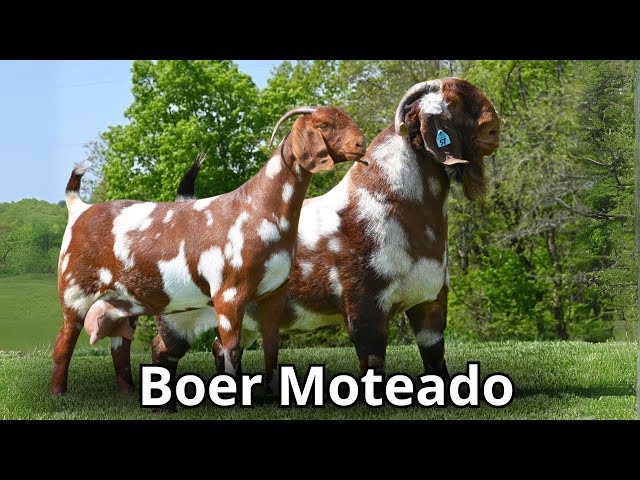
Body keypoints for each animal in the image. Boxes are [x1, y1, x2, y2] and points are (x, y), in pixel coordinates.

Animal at [52, 106, 367, 400]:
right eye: (324, 124)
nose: (361, 144)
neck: (257, 208)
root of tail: (79, 208)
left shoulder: (273, 292)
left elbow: (272, 346)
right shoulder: (229, 293)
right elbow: (231, 349)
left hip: (124, 302)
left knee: (120, 345)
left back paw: (128, 393)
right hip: (75, 292)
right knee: (63, 343)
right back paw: (58, 395)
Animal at [175, 78, 500, 381]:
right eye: (453, 104)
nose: (493, 130)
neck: (389, 202)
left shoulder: (430, 304)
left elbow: (436, 363)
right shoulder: (365, 309)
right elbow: (372, 364)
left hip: (245, 321)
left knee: (222, 348)